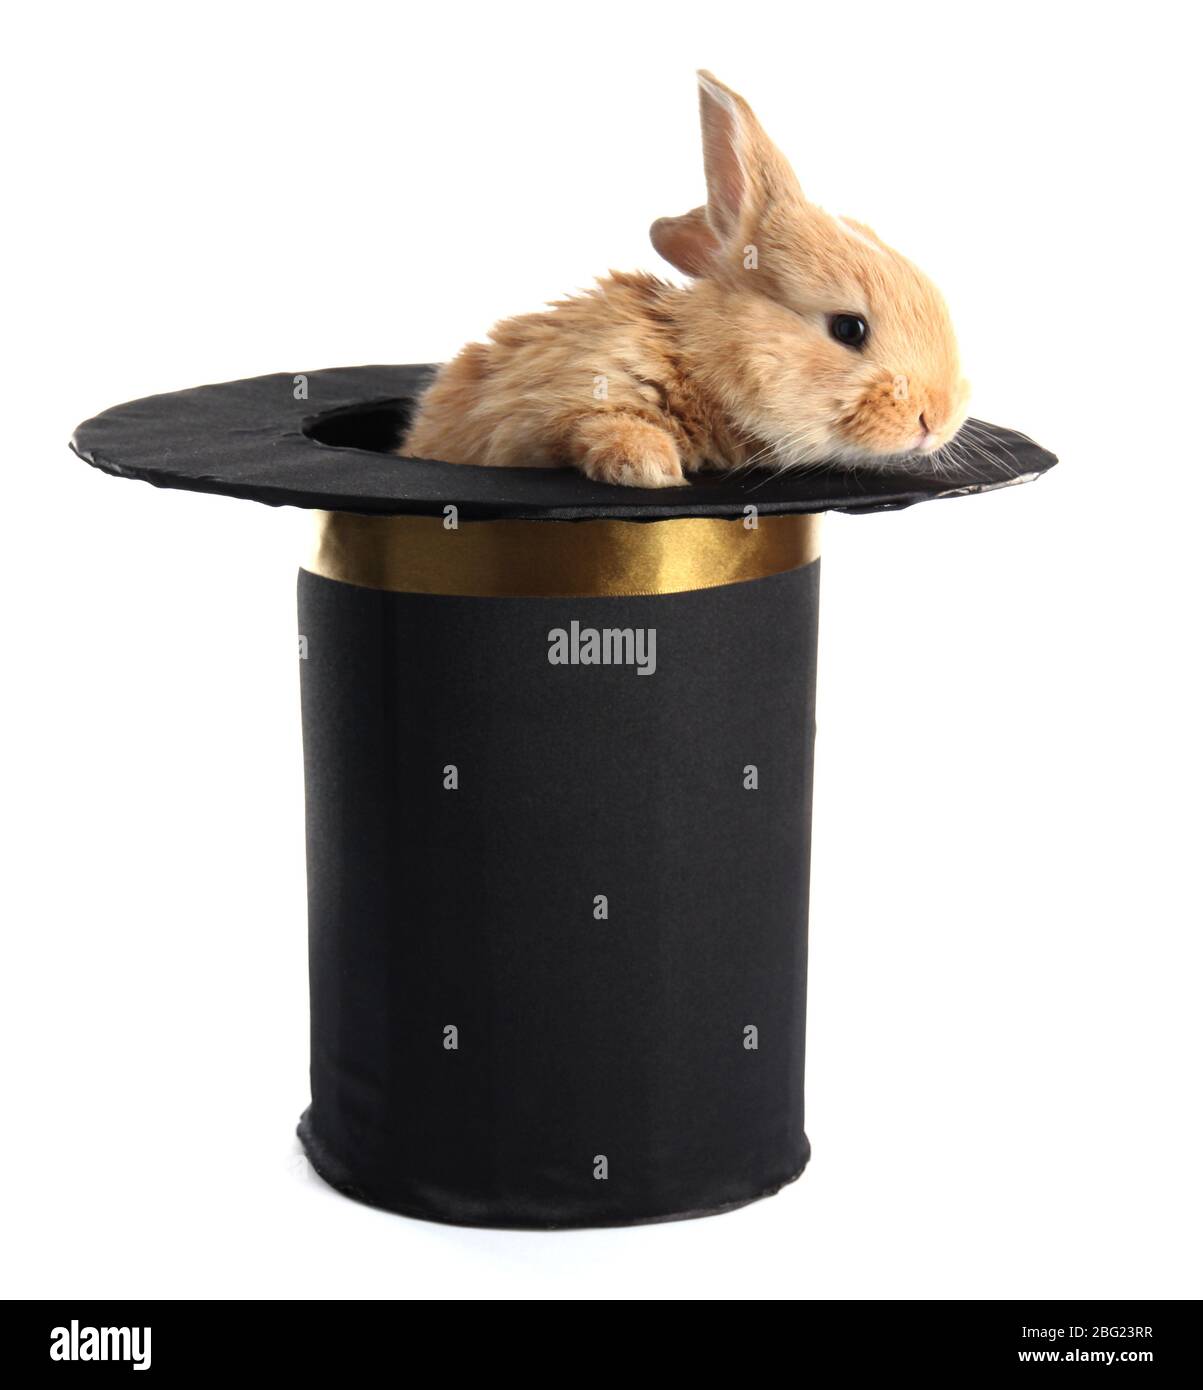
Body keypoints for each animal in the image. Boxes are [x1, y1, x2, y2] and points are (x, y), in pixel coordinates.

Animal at [401, 71, 970, 488]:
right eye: (849, 328)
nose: (937, 420)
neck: (690, 357)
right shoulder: (552, 401)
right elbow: (585, 425)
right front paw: (651, 468)